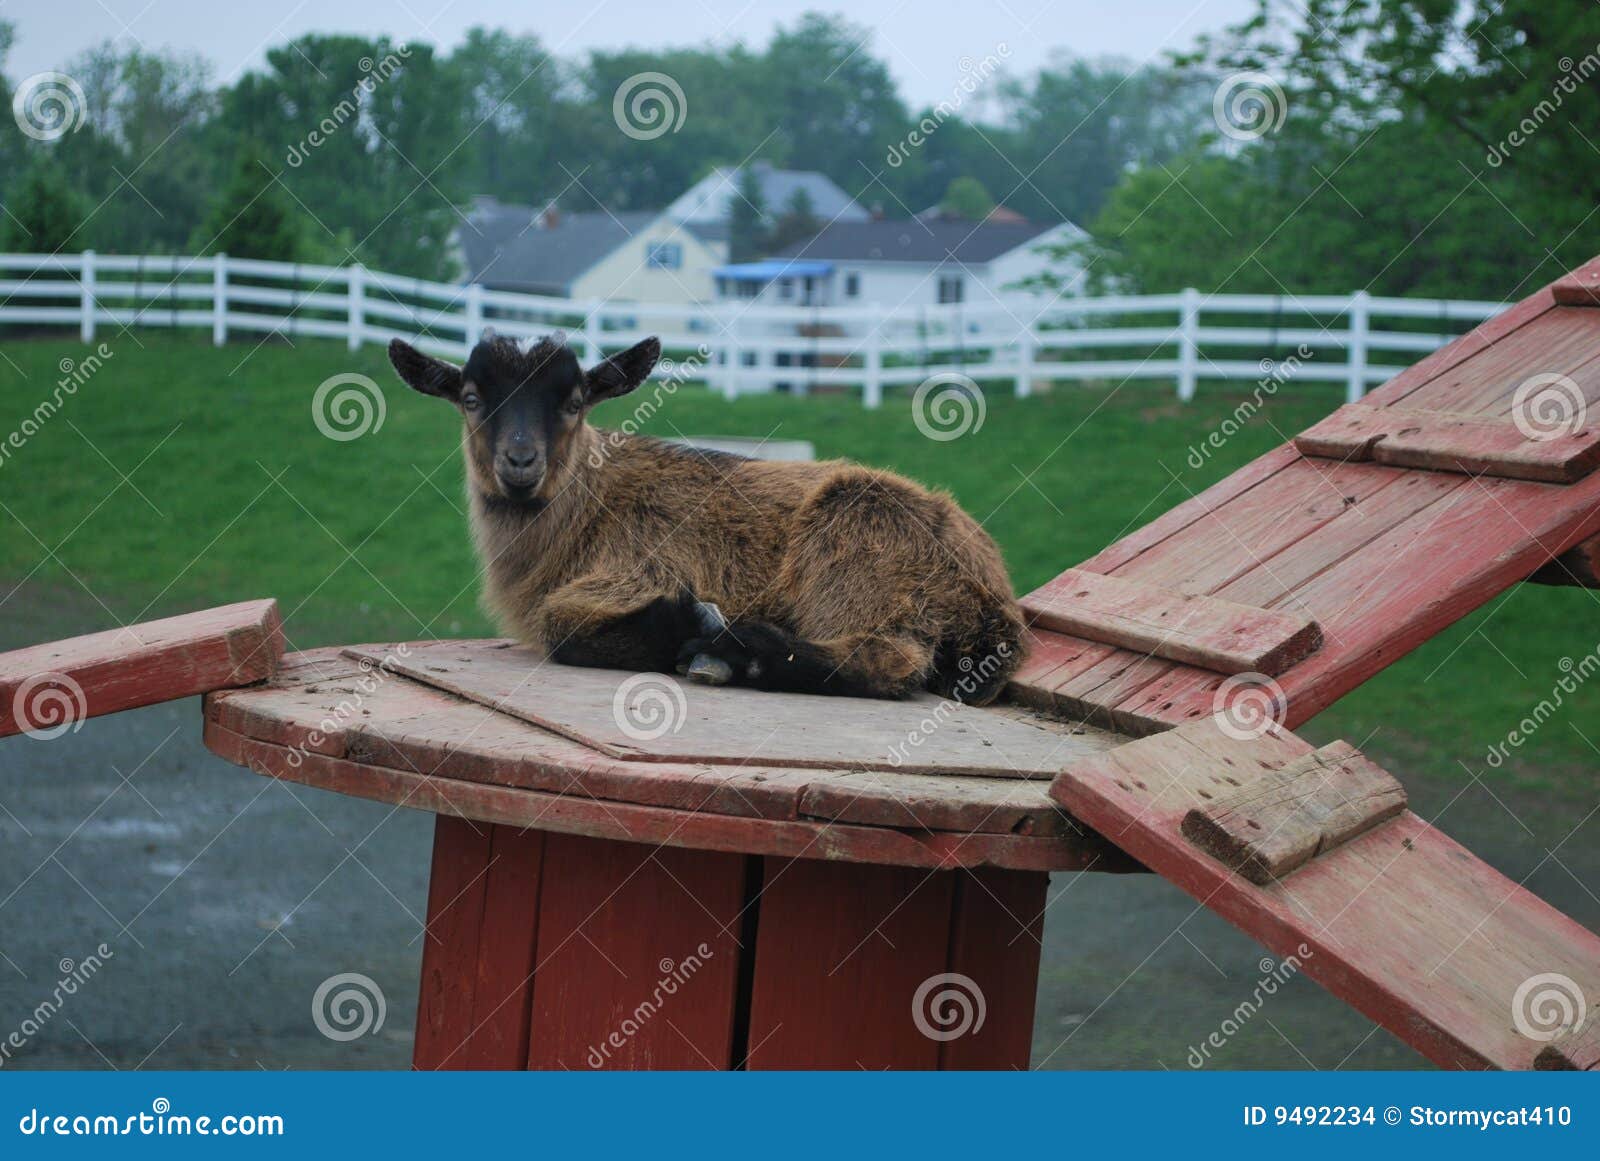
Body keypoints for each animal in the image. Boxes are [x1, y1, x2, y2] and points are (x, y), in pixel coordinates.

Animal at [387, 333, 1025, 703]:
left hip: (859, 542)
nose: (520, 462)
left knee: (889, 661)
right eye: (471, 398)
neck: (589, 505)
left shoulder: (640, 565)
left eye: (574, 402)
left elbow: (560, 625)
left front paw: (688, 619)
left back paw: (729, 650)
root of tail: (993, 602)